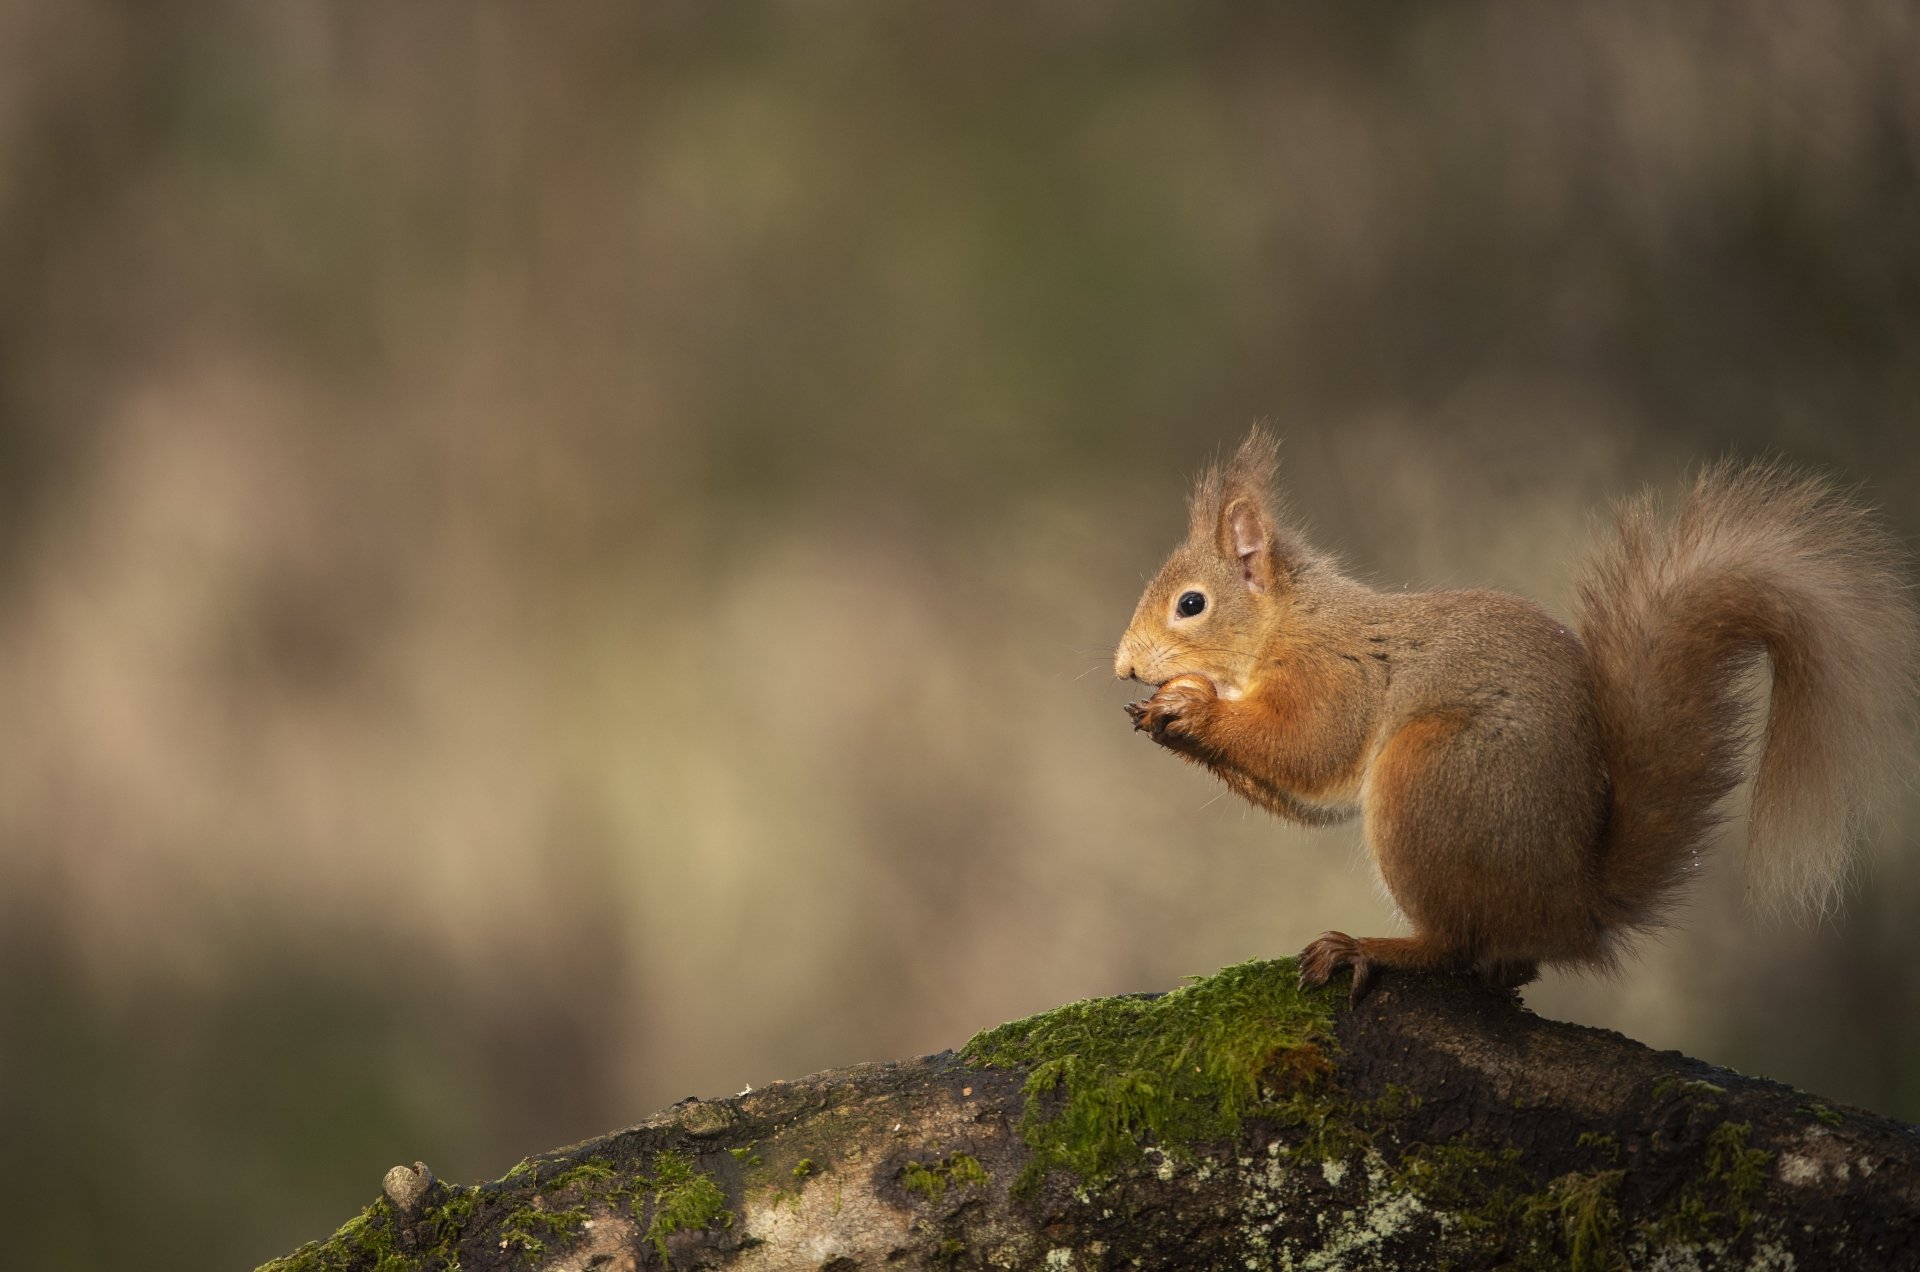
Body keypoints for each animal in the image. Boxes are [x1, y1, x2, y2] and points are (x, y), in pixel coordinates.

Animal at [1115, 428, 1919, 1001]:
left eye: (1192, 604)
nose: (1124, 666)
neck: (1288, 623)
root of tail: (1570, 908)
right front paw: (1163, 715)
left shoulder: (1335, 675)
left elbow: (1308, 747)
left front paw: (1191, 705)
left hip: (1430, 777)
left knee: (1456, 945)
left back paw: (1376, 950)